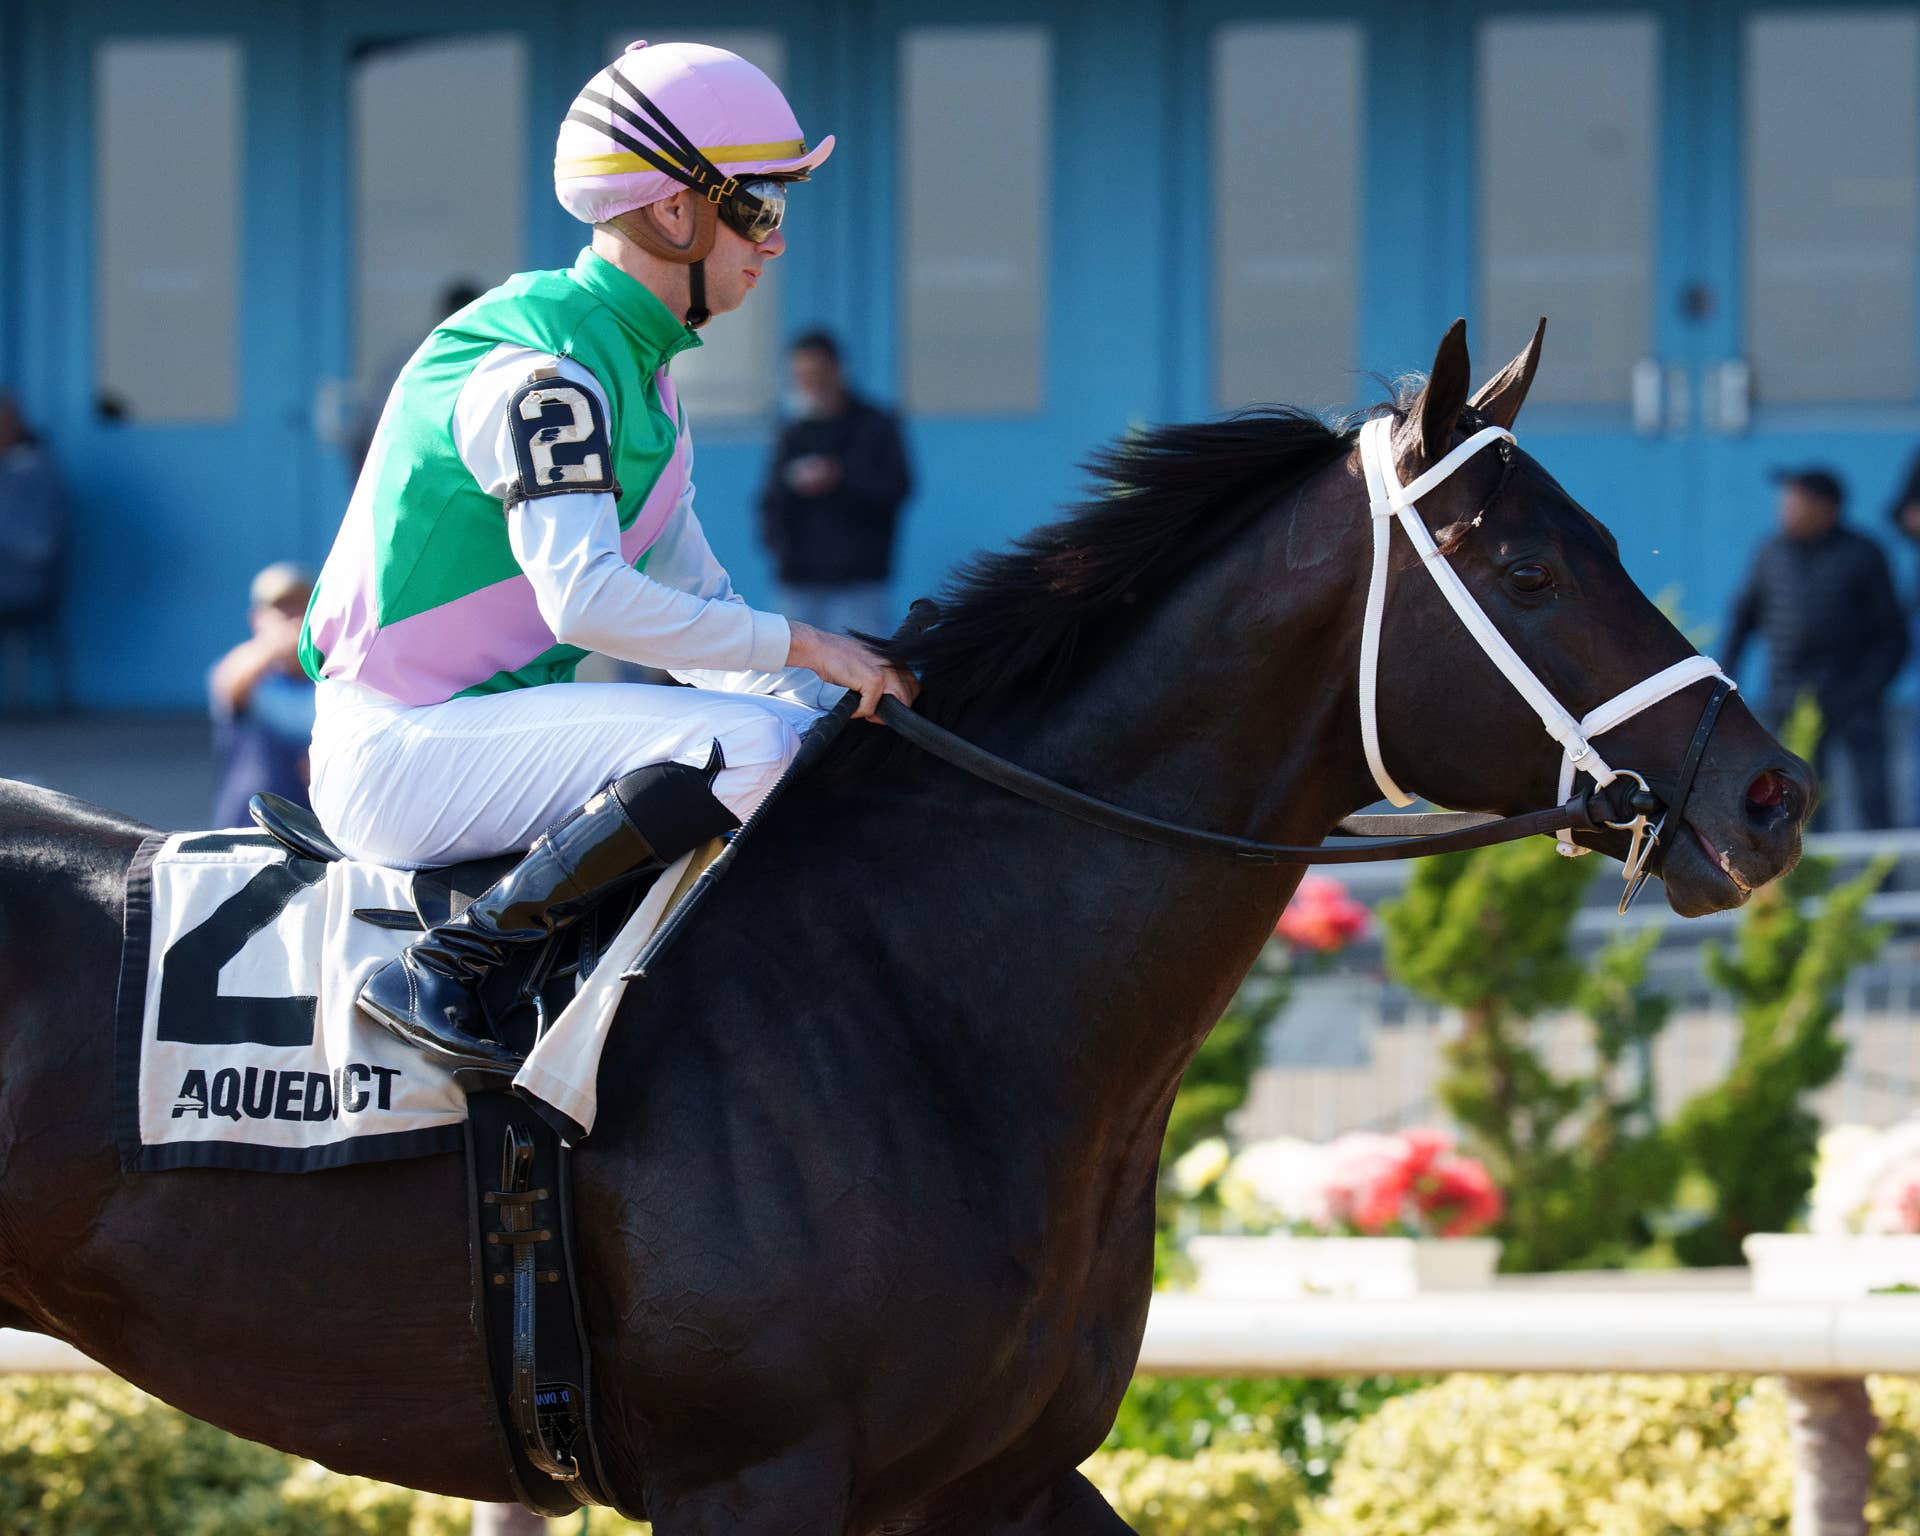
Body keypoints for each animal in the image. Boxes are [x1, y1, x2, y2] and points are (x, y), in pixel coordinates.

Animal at [0, 322, 1810, 1533]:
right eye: (1526, 569)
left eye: (1600, 539)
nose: (1772, 792)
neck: (924, 996)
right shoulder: (756, 1480)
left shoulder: (1001, 1474)